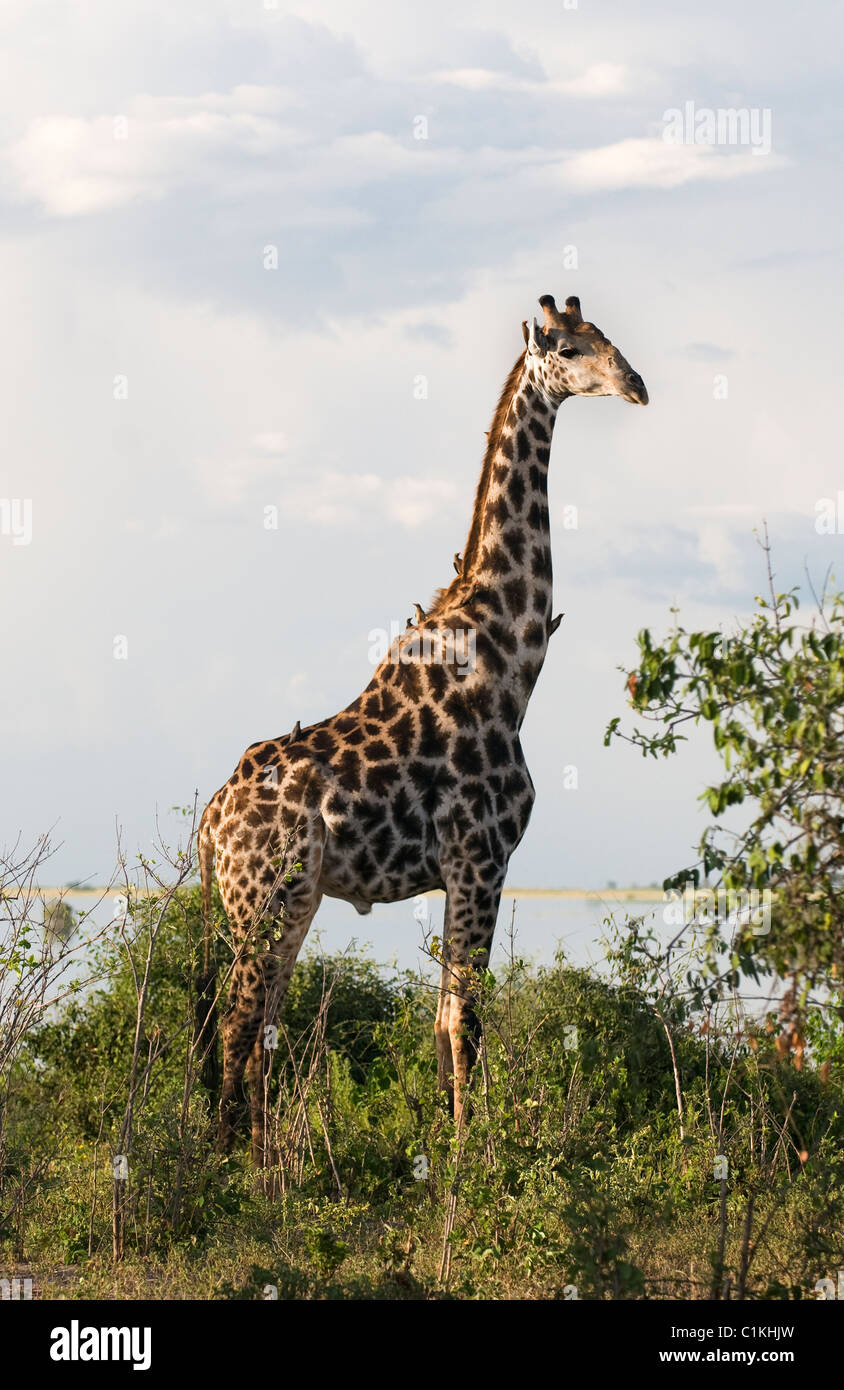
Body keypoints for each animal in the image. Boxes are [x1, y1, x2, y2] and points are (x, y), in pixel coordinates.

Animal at [196, 293, 648, 1165]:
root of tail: (207, 827)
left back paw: (258, 1157)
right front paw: (475, 1160)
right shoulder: (482, 858)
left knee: (258, 1021)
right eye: (569, 349)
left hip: (291, 898)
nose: (638, 385)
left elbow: (442, 1023)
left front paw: (444, 1147)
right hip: (261, 897)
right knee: (237, 1021)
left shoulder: (464, 870)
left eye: (610, 338)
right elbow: (466, 1021)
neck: (510, 663)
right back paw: (235, 1164)